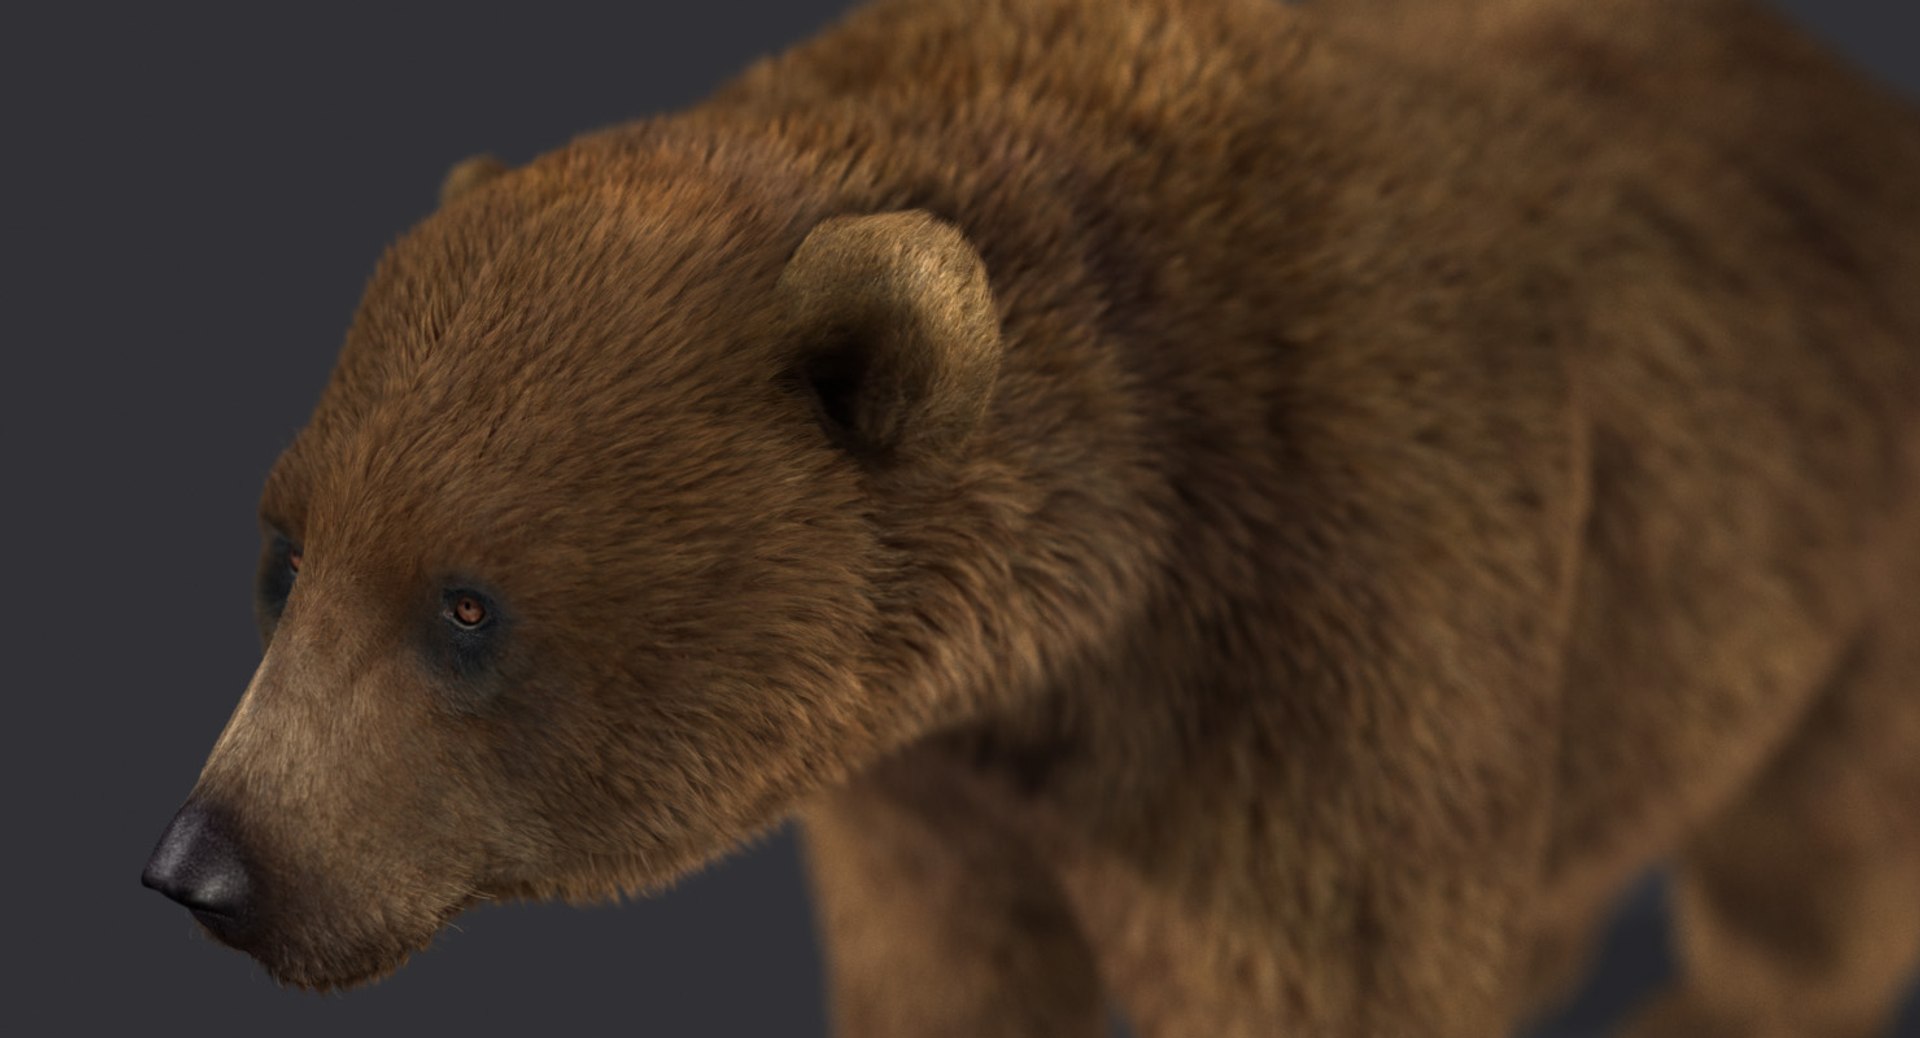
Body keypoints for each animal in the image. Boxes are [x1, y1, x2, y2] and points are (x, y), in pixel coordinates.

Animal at [139, 0, 1920, 1035]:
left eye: (465, 604)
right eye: (284, 554)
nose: (208, 864)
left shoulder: (1337, 607)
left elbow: (1323, 959)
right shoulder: (932, 777)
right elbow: (955, 965)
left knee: (1814, 825)